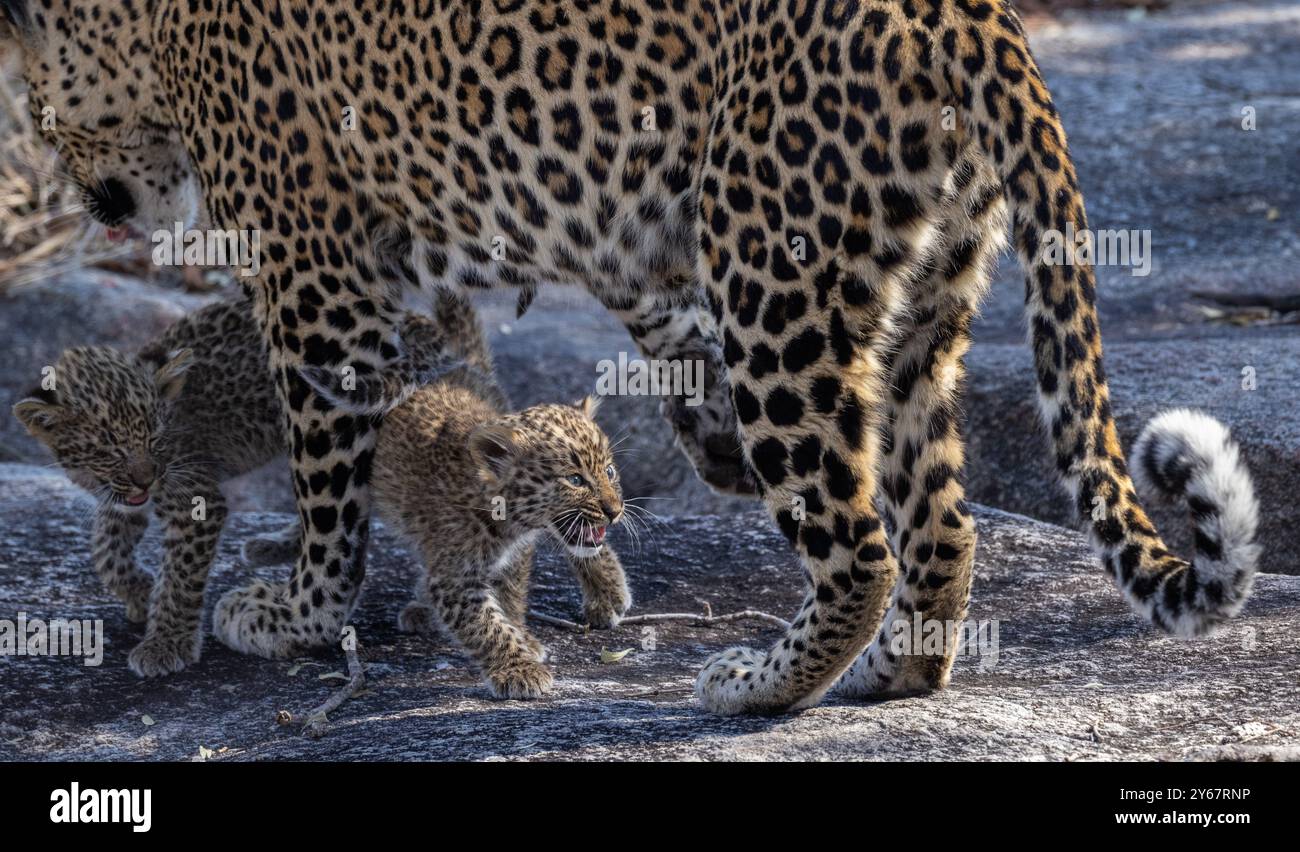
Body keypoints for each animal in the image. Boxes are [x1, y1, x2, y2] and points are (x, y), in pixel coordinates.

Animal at [14, 292, 630, 686]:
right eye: (108, 448)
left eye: (156, 436)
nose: (615, 506)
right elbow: (106, 538)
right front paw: (135, 588)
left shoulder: (191, 496)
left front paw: (164, 639)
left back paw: (605, 590)